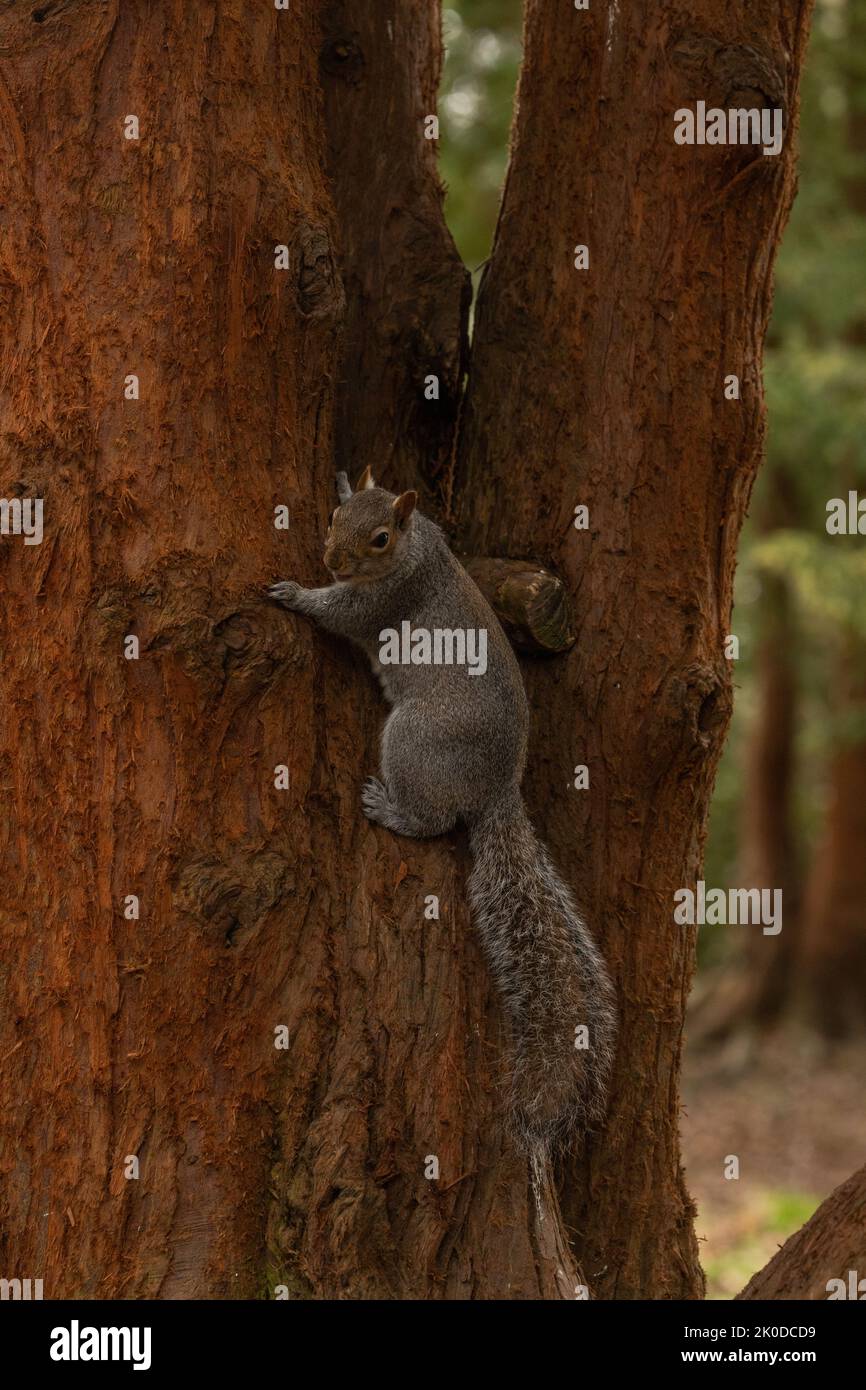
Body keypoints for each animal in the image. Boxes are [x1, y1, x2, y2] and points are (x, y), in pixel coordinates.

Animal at [268, 468, 617, 1163]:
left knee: (433, 820)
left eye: (378, 539)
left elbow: (340, 612)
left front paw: (296, 594)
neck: (413, 550)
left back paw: (393, 810)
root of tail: (495, 789)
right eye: (336, 516)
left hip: (415, 740)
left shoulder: (382, 601)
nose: (332, 560)